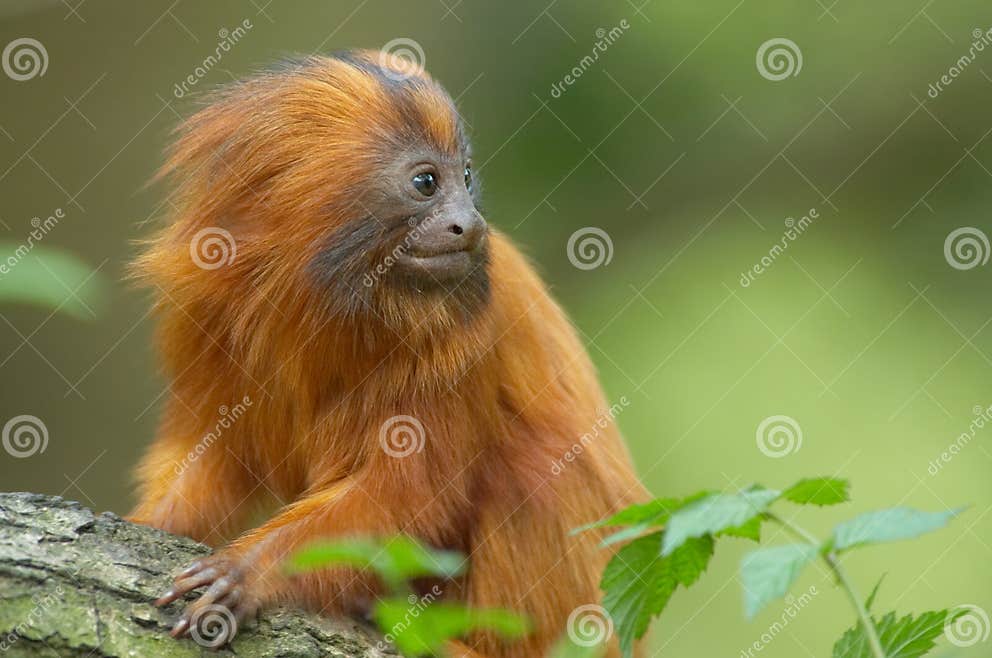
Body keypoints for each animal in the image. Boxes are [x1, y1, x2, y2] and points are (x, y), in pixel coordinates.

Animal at [129, 50, 648, 658]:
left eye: (465, 179)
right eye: (427, 182)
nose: (468, 223)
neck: (322, 303)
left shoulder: (469, 335)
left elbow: (413, 496)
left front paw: (253, 569)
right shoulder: (204, 310)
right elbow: (210, 457)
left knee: (531, 464)